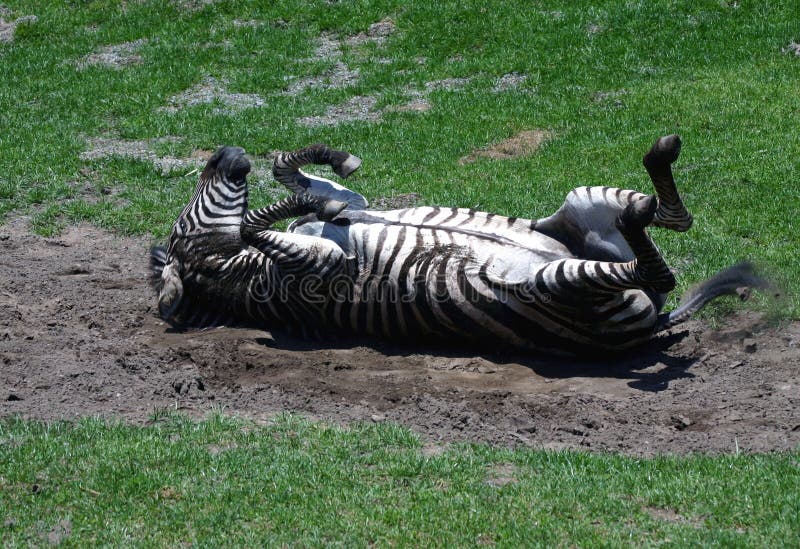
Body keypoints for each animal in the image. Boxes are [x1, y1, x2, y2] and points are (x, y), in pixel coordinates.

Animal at [151, 136, 769, 354]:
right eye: (185, 227)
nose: (224, 151)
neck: (249, 272)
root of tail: (658, 319)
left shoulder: (339, 207)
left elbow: (293, 172)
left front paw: (332, 165)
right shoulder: (316, 268)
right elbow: (255, 222)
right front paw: (319, 206)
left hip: (580, 205)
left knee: (672, 220)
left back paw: (656, 168)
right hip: (554, 284)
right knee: (657, 271)